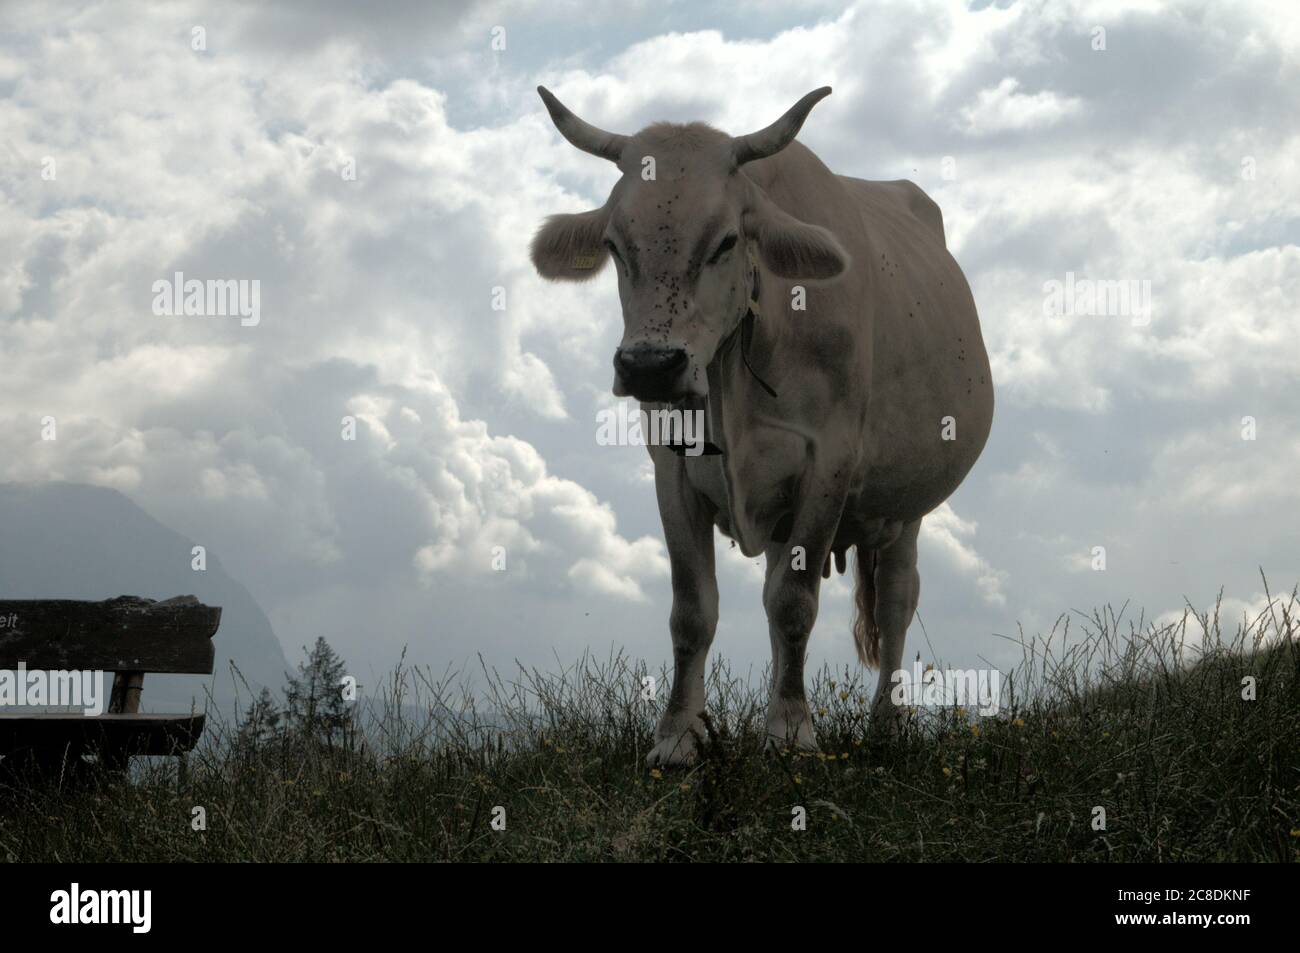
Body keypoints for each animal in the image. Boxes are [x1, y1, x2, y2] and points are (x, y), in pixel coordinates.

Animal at [531, 86, 994, 766]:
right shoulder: (672, 467)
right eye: (616, 245)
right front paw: (678, 737)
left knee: (895, 603)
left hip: (905, 509)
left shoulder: (828, 463)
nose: (650, 365)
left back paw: (885, 725)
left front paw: (792, 733)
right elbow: (694, 610)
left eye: (725, 240)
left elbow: (795, 603)